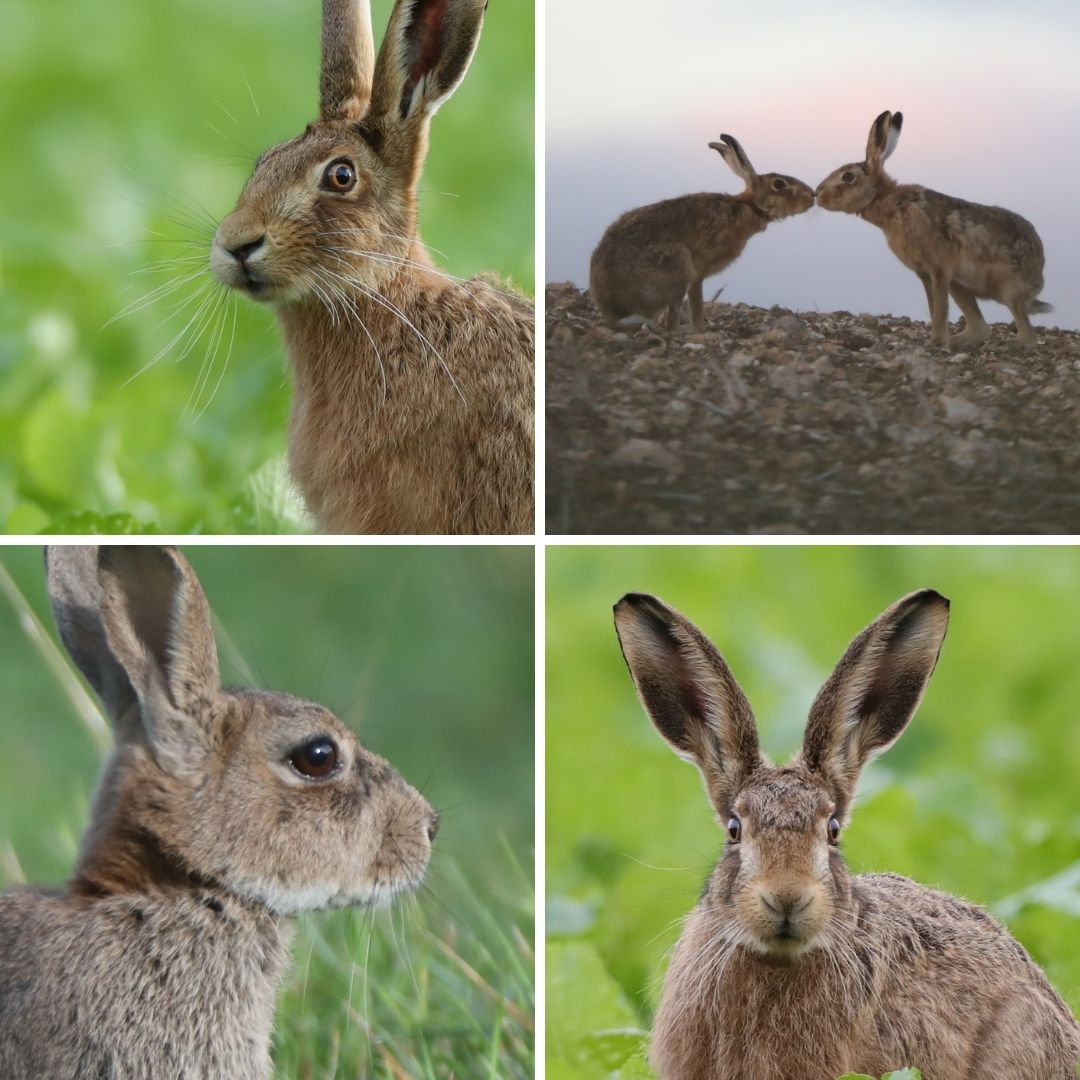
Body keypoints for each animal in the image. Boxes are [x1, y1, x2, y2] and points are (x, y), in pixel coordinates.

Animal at [588, 135, 815, 343]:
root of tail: (613, 310)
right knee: (671, 323)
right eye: (779, 184)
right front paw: (701, 329)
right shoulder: (698, 269)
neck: (748, 206)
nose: (811, 196)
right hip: (676, 268)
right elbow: (696, 300)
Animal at [816, 110, 1052, 350]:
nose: (818, 194)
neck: (889, 201)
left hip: (1008, 290)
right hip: (960, 285)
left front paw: (936, 343)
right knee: (980, 328)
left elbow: (939, 309)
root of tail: (1038, 279)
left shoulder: (938, 269)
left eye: (848, 176)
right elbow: (933, 307)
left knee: (1027, 334)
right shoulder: (925, 273)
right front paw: (935, 341)